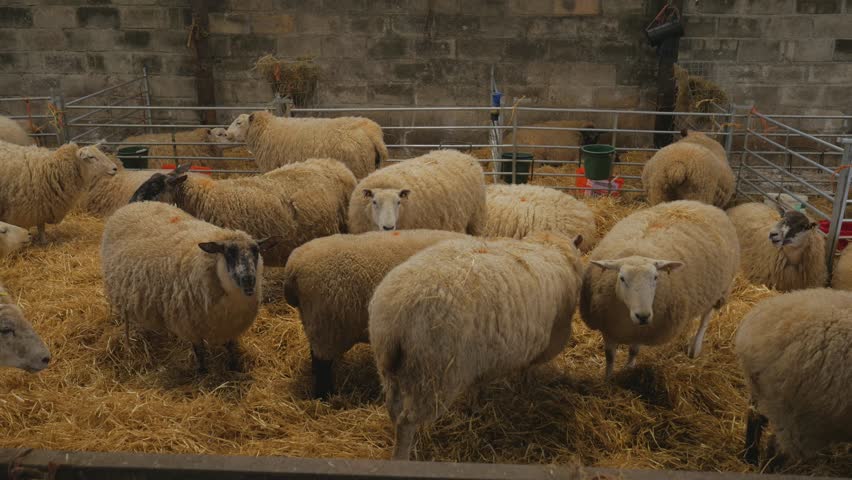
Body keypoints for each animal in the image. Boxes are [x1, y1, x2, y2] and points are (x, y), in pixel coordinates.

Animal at [101, 201, 278, 373]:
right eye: (229, 252)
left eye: (256, 251)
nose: (248, 279)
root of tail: (135, 204)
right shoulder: (189, 325)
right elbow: (199, 351)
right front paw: (202, 371)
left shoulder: (230, 326)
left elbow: (231, 348)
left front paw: (234, 367)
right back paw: (127, 343)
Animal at [225, 111, 387, 179]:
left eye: (238, 123)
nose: (226, 134)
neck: (264, 129)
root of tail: (372, 131)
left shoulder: (272, 165)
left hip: (360, 168)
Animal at [283, 229, 467, 399]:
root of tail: (293, 267)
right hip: (326, 325)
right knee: (322, 365)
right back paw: (326, 396)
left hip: (313, 321)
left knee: (315, 356)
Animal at [369, 231, 584, 460]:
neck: (549, 246)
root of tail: (394, 321)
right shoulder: (548, 341)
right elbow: (528, 370)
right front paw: (525, 388)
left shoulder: (483, 356)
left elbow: (479, 385)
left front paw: (477, 404)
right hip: (433, 376)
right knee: (407, 422)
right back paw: (402, 455)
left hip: (393, 372)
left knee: (394, 410)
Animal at [580, 200, 739, 379]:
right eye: (622, 278)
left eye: (656, 277)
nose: (643, 316)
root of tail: (699, 203)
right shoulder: (608, 329)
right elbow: (610, 357)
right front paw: (607, 379)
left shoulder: (643, 331)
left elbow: (633, 351)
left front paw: (628, 370)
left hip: (720, 288)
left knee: (705, 318)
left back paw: (695, 349)